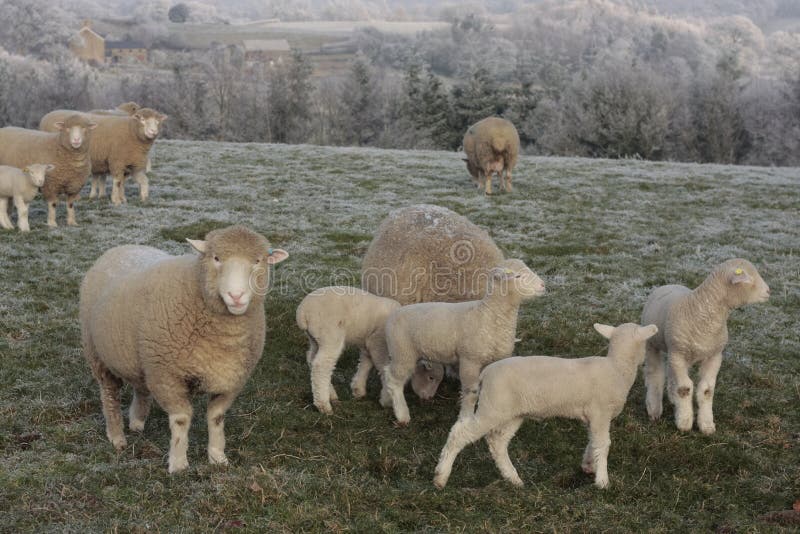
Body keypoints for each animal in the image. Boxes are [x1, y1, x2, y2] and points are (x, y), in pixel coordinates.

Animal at [79, 225, 289, 473]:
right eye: (216, 258)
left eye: (258, 261)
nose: (236, 296)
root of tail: (121, 247)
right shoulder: (167, 377)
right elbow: (181, 419)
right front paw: (178, 464)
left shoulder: (232, 379)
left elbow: (216, 417)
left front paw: (217, 457)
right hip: (98, 354)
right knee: (109, 395)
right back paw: (117, 437)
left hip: (142, 358)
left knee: (141, 386)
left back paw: (137, 421)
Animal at [296, 286, 443, 414]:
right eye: (431, 378)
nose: (429, 398)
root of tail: (303, 313)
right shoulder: (378, 341)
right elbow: (382, 365)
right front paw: (387, 397)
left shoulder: (368, 341)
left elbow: (366, 362)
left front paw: (358, 389)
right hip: (330, 335)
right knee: (321, 365)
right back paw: (324, 405)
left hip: (315, 339)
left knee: (311, 359)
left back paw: (329, 393)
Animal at [382, 259, 546, 425]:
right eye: (517, 276)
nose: (543, 285)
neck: (489, 315)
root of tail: (392, 316)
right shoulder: (470, 360)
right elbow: (470, 393)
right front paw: (466, 417)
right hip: (403, 352)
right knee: (394, 381)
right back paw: (402, 414)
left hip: (400, 354)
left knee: (387, 371)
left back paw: (386, 400)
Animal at [433, 323, 658, 490]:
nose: (645, 359)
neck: (617, 368)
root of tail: (484, 374)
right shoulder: (601, 413)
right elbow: (603, 444)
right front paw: (603, 481)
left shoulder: (592, 417)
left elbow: (592, 441)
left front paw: (588, 465)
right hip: (493, 408)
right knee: (460, 434)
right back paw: (441, 477)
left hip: (512, 413)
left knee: (497, 442)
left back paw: (513, 478)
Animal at [641, 258, 770, 434]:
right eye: (748, 278)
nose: (769, 291)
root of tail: (668, 285)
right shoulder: (678, 354)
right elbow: (684, 388)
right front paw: (684, 423)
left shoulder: (714, 356)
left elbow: (706, 390)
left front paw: (706, 425)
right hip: (654, 344)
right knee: (655, 374)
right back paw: (654, 408)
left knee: (671, 374)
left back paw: (673, 400)